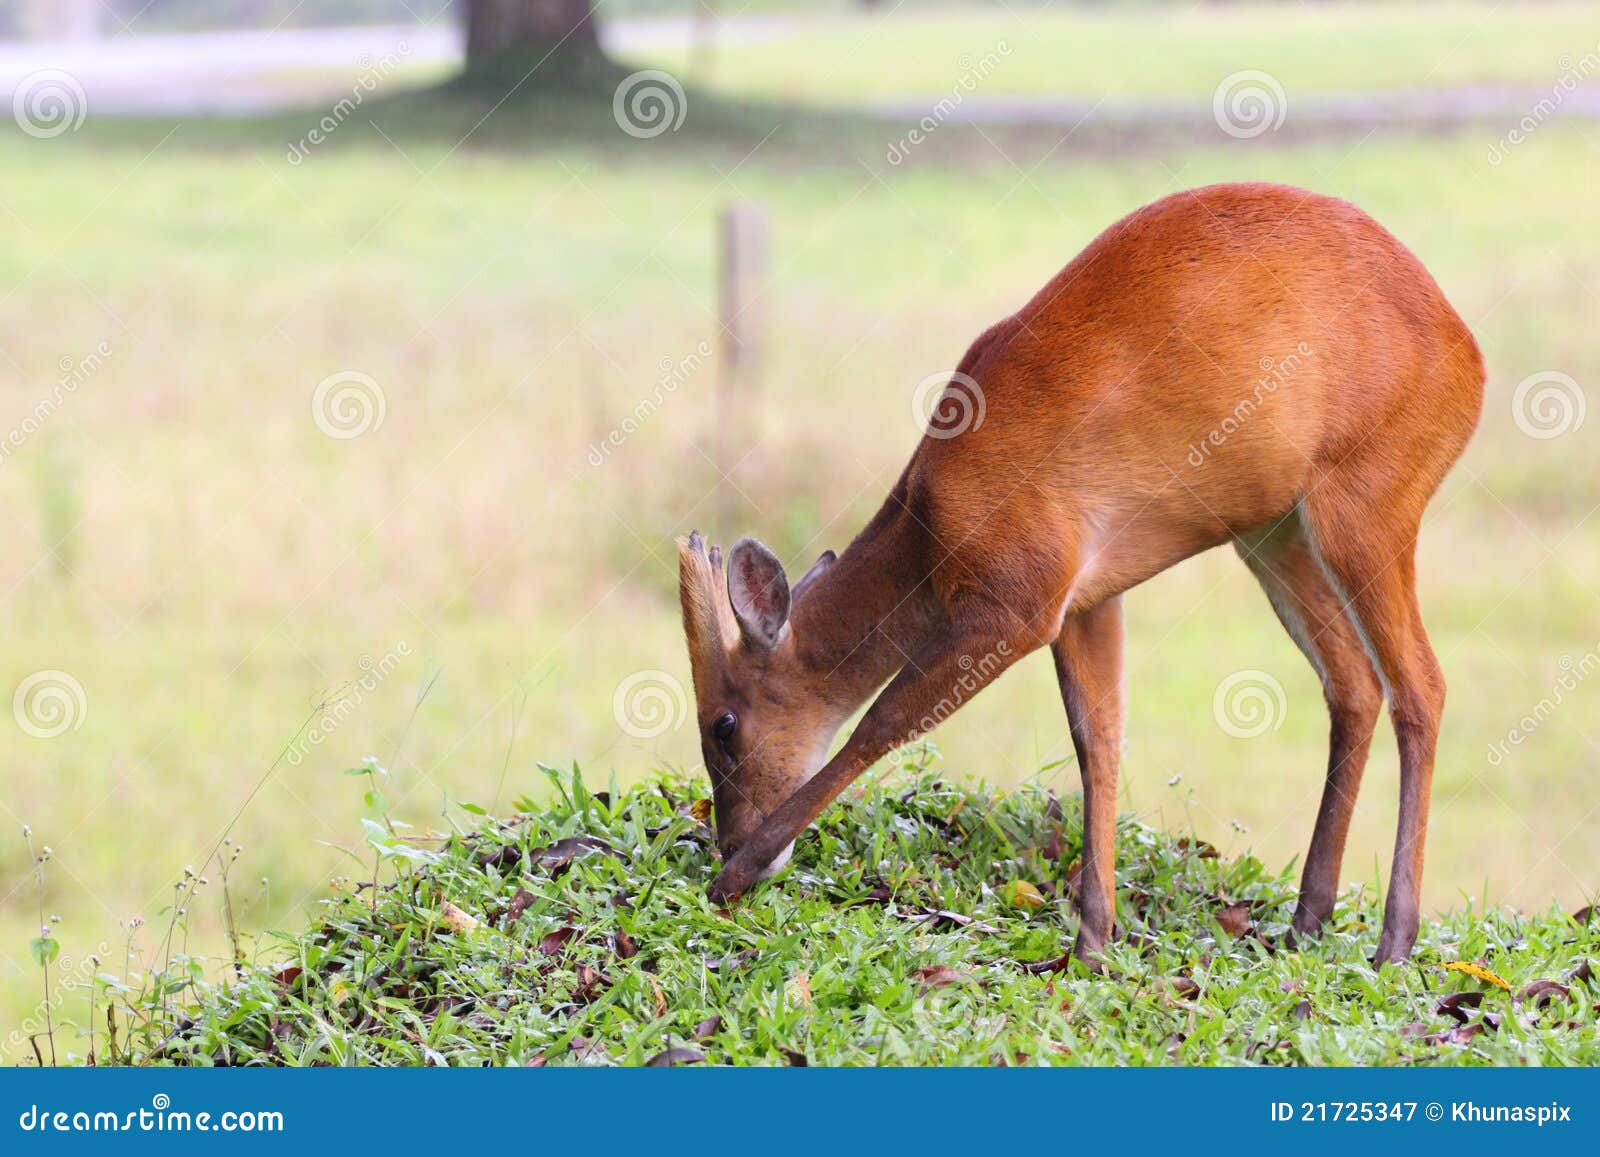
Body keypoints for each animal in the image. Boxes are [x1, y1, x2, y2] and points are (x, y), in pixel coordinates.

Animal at [679, 183, 1484, 966]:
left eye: (724, 723)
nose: (727, 837)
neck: (928, 523)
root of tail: (1470, 359)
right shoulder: (1087, 600)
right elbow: (1097, 739)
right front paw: (1095, 937)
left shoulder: (1021, 596)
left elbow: (882, 722)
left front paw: (735, 874)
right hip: (1274, 533)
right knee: (1354, 683)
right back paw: (1306, 920)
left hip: (1367, 500)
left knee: (1422, 685)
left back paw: (1394, 939)